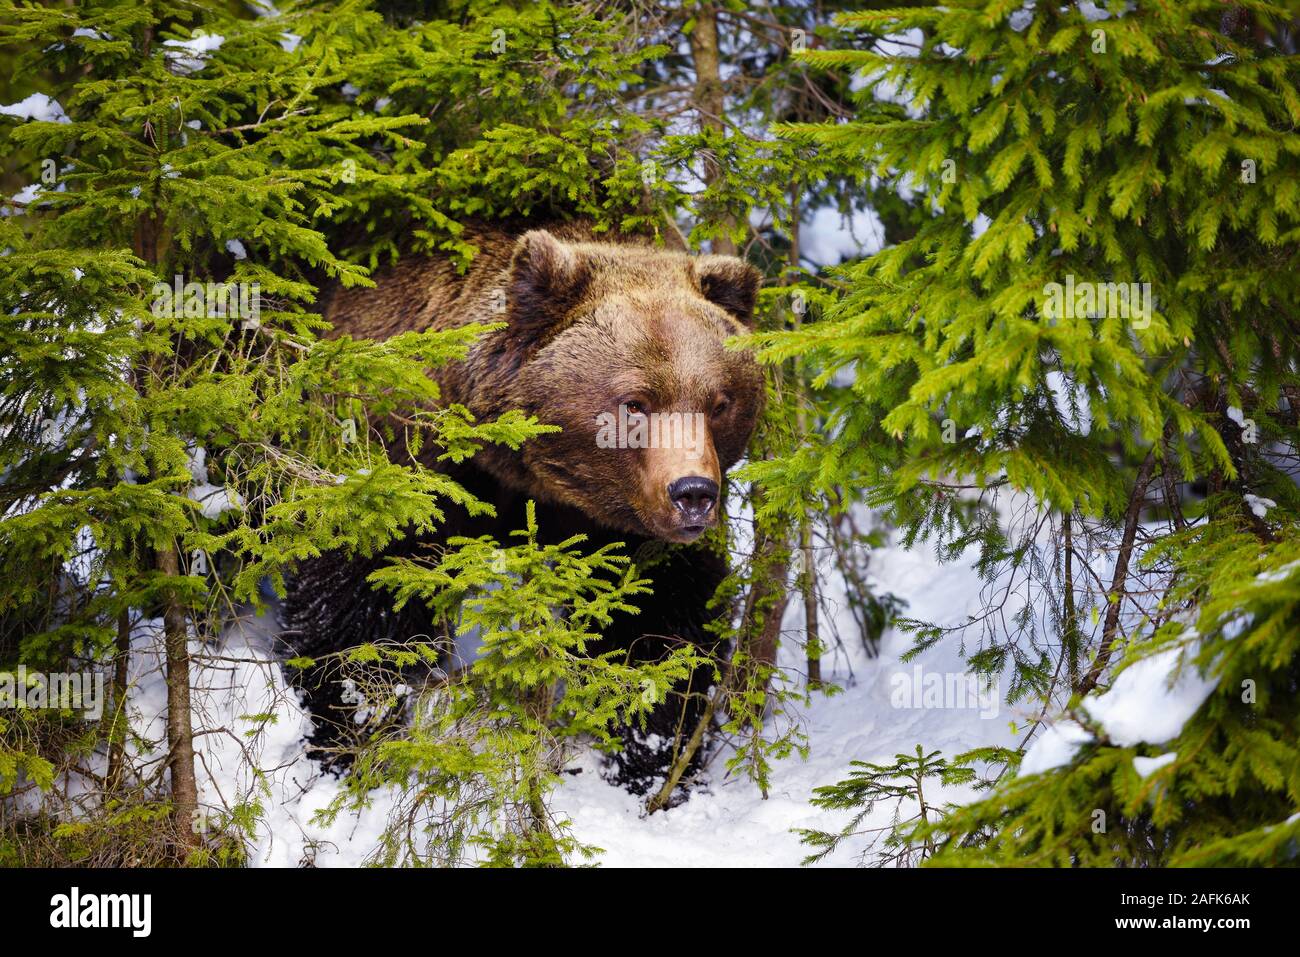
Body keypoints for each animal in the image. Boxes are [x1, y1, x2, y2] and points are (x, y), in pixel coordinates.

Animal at [282, 221, 763, 795]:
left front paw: (650, 758)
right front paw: (351, 734)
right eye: (635, 402)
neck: (528, 472)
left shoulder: (624, 528)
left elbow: (659, 626)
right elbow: (364, 599)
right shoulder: (412, 457)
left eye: (719, 402)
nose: (693, 492)